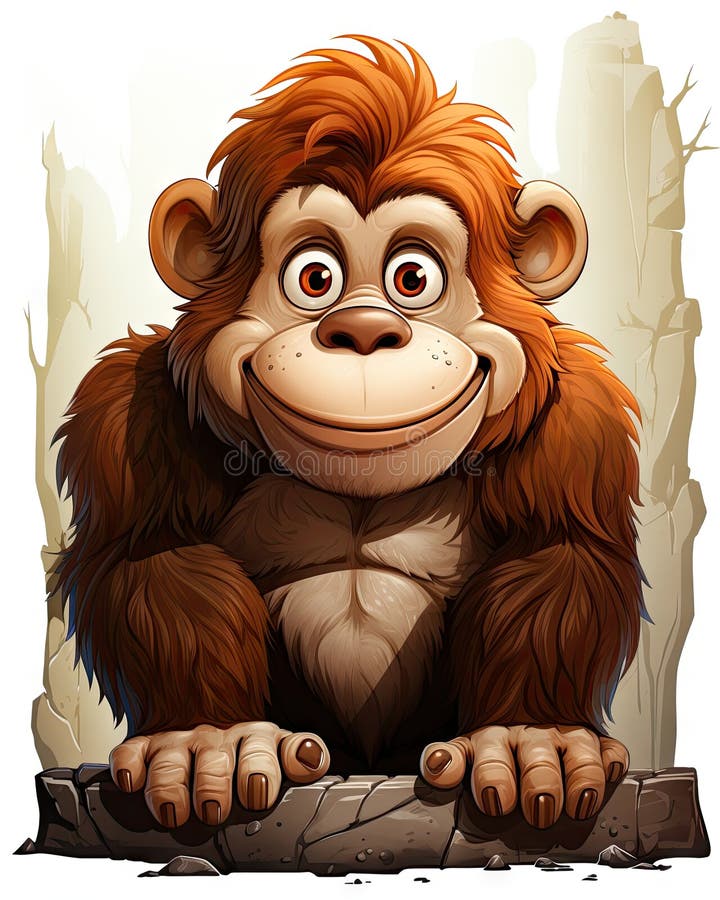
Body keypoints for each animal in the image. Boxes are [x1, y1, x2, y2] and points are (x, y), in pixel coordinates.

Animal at [54, 37, 644, 833]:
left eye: (412, 276)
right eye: (314, 277)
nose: (363, 331)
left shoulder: (579, 421)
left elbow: (557, 556)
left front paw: (532, 736)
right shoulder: (130, 413)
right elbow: (155, 558)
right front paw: (207, 738)